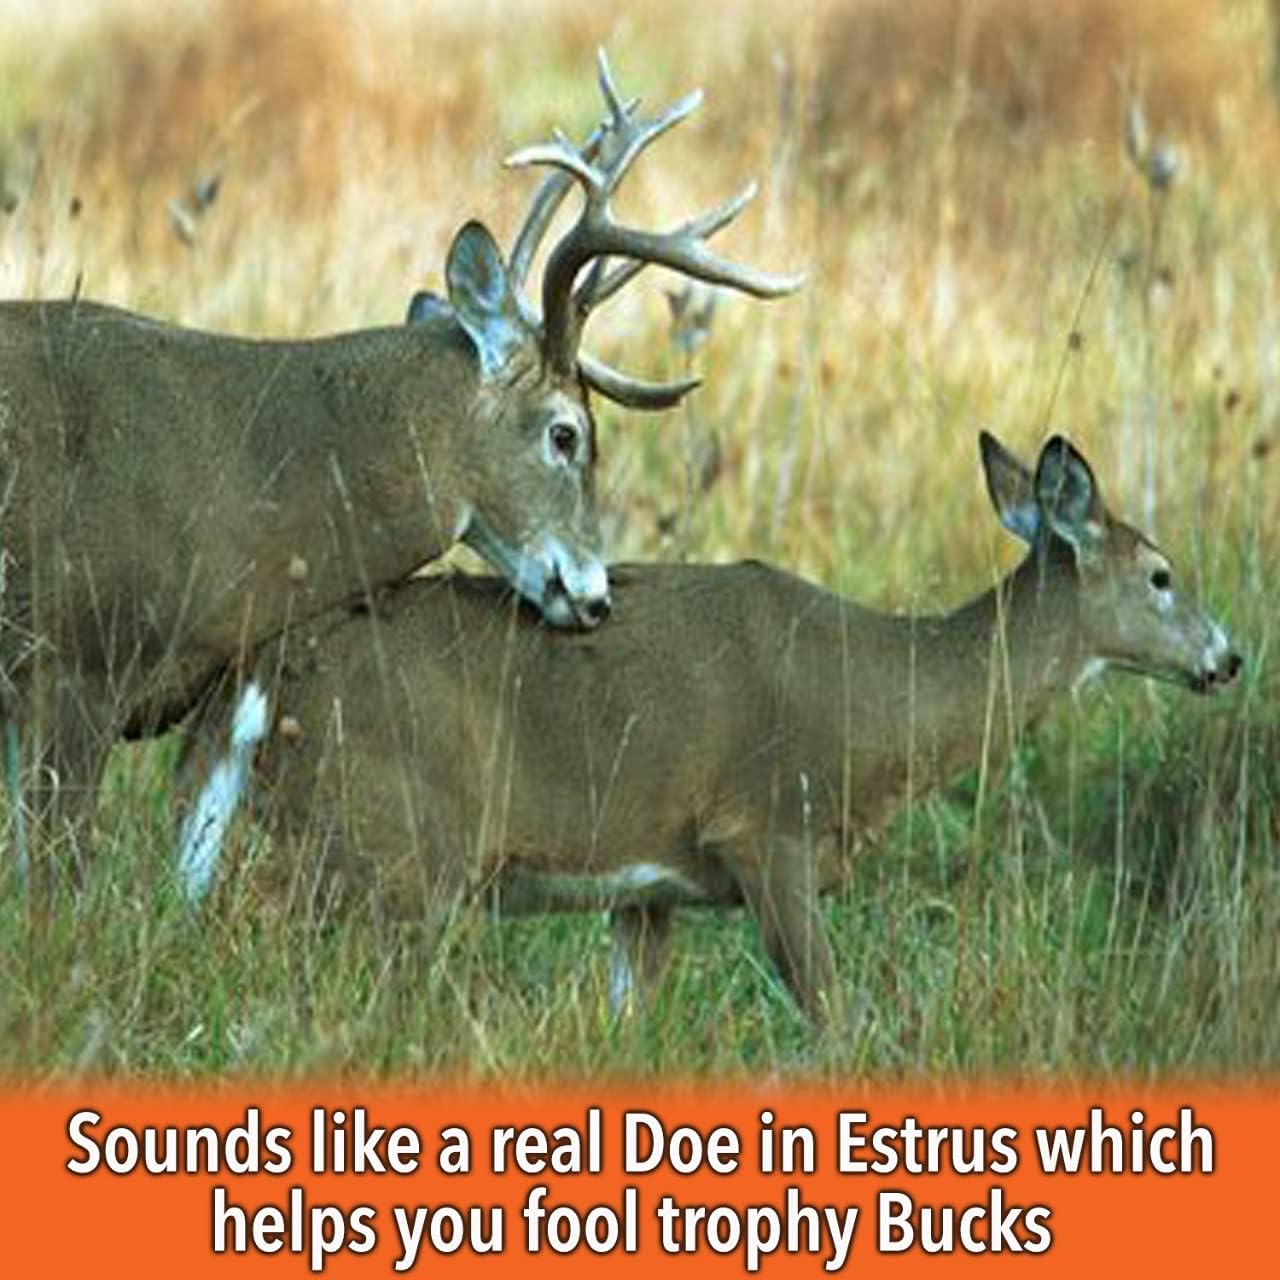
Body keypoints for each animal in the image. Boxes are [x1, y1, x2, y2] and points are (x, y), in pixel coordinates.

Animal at [179, 432, 1242, 1021]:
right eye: (1161, 575)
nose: (1228, 658)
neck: (881, 701)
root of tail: (264, 673)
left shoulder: (647, 889)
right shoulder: (768, 828)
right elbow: (839, 1016)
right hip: (392, 835)